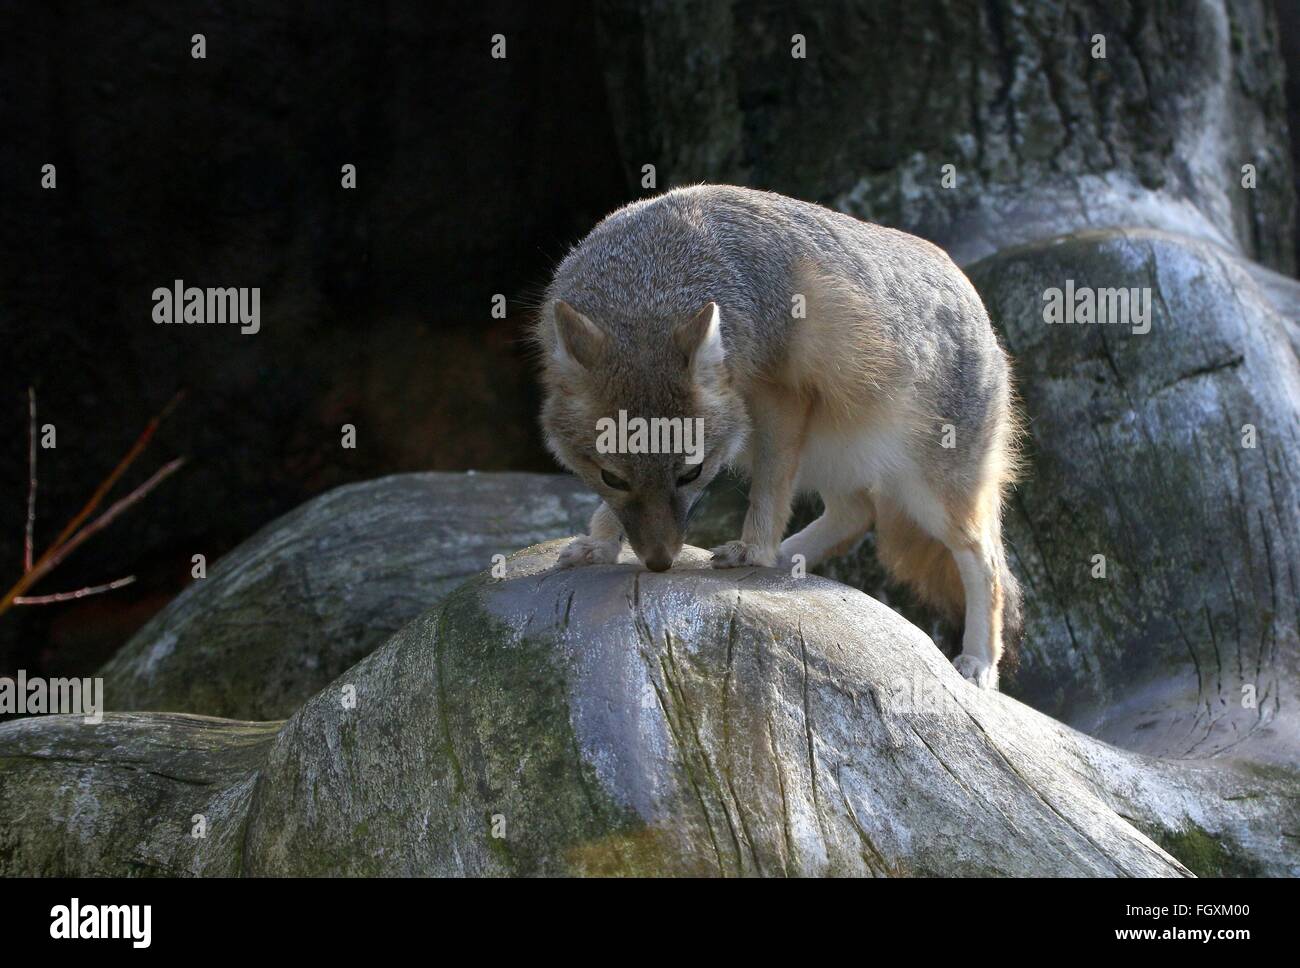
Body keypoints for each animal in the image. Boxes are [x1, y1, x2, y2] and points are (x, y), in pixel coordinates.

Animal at [533, 185, 1022, 689]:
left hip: (930, 498)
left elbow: (768, 489)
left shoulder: (782, 398)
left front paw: (753, 549)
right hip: (833, 459)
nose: (659, 563)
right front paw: (601, 542)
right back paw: (789, 561)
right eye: (611, 478)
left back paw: (980, 661)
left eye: (692, 474)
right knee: (855, 514)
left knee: (984, 561)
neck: (652, 274)